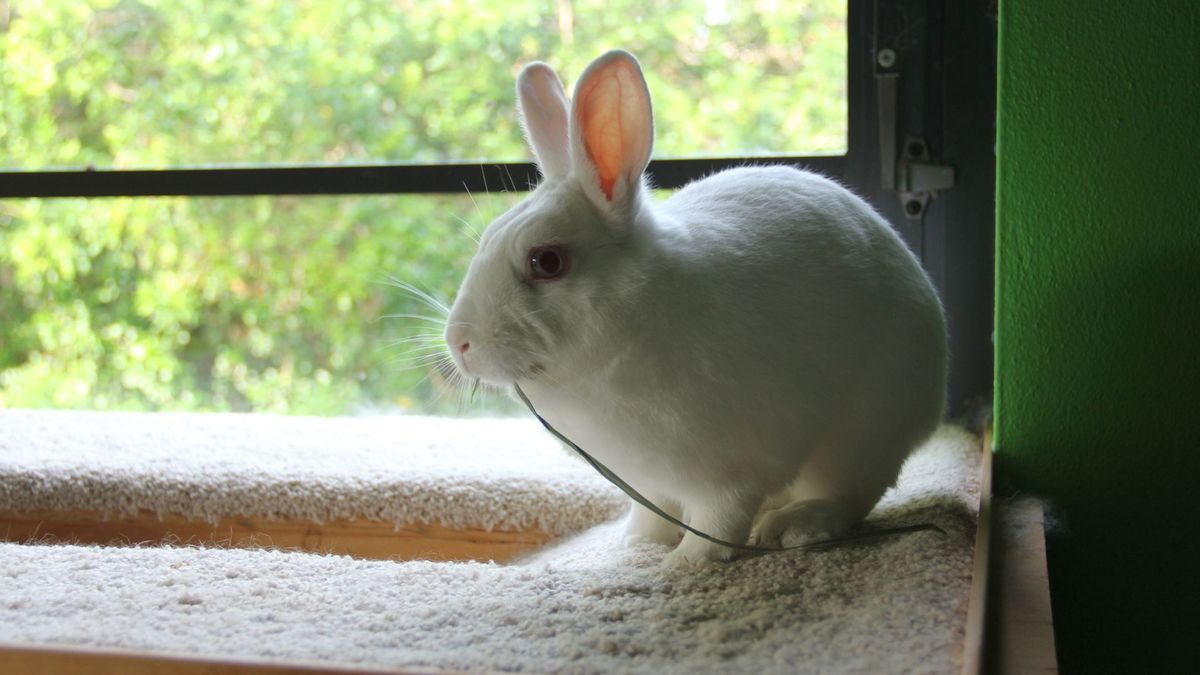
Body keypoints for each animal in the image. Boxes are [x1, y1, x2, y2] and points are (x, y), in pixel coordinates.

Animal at [444, 50, 947, 566]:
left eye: (546, 261)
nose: (458, 342)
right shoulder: (649, 482)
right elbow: (653, 514)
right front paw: (638, 544)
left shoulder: (732, 470)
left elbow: (718, 521)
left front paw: (685, 563)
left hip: (860, 434)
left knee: (849, 494)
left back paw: (796, 526)